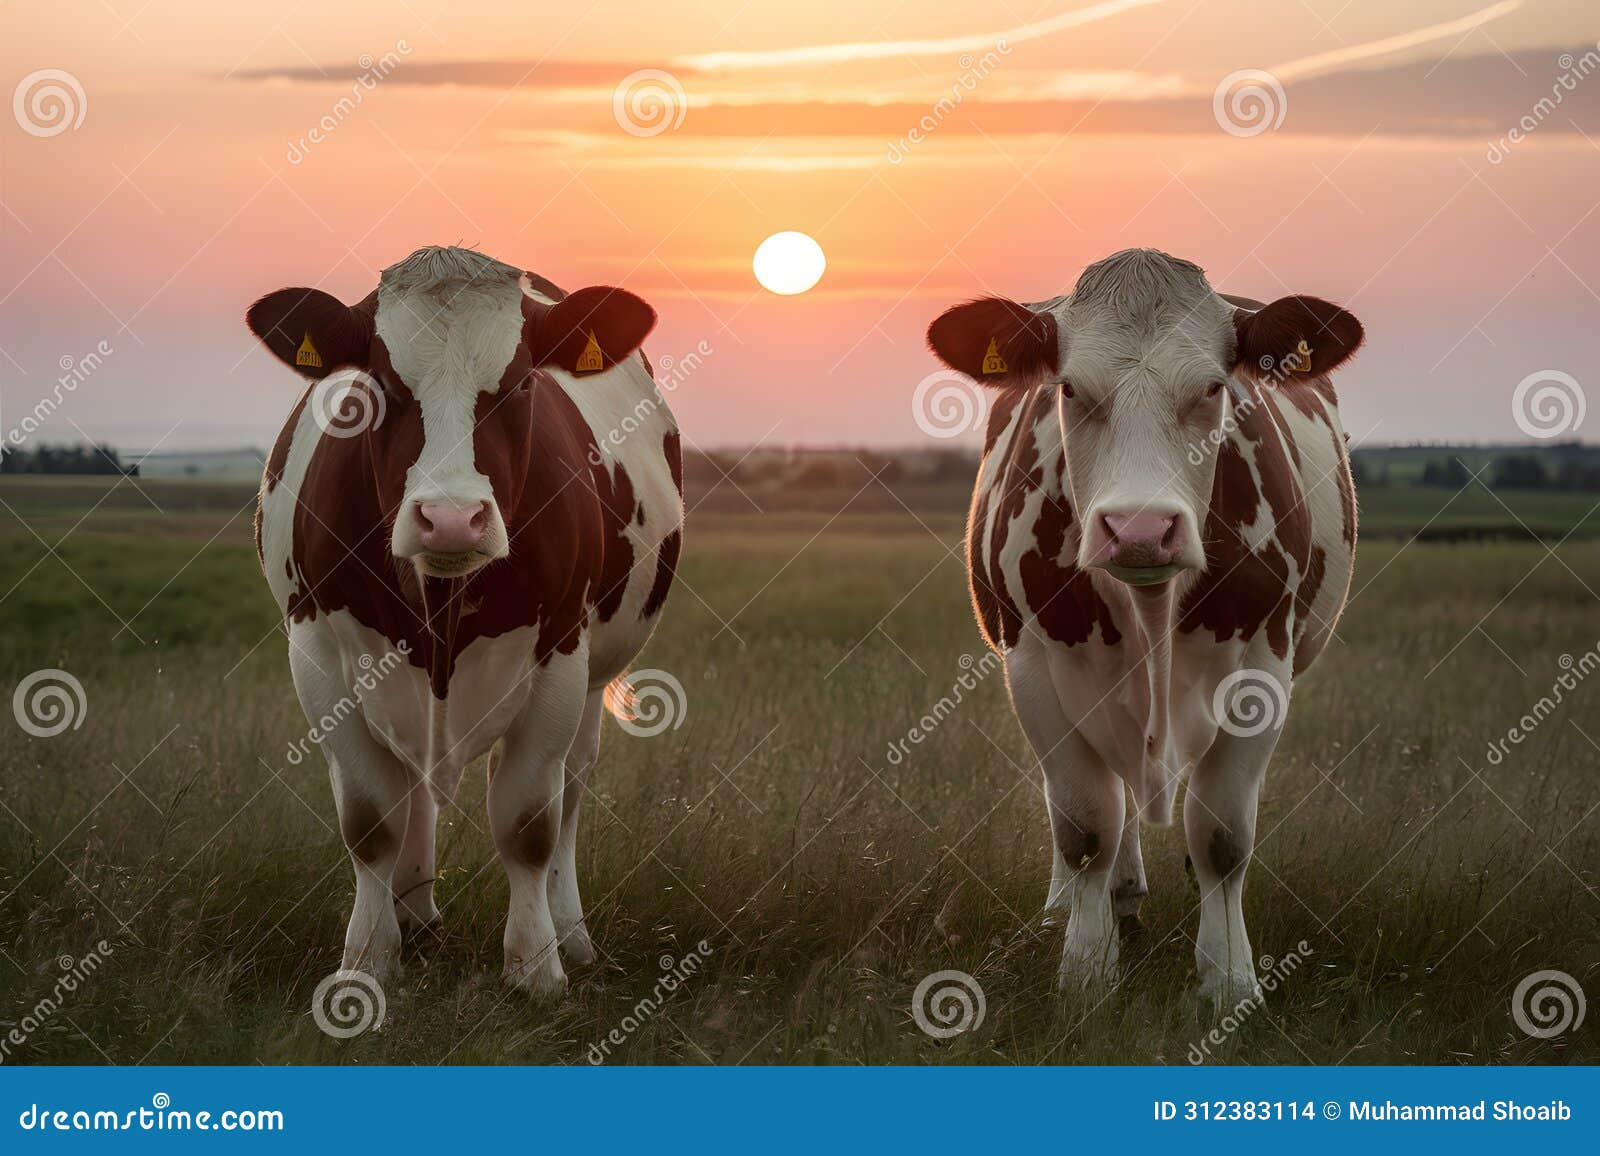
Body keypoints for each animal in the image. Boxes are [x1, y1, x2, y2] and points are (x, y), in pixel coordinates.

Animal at [247, 246, 683, 994]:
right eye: (379, 386)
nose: (451, 518)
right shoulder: (317, 655)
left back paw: (572, 935)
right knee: (413, 788)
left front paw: (537, 967)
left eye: (520, 385)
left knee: (571, 787)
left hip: (595, 679)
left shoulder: (561, 652)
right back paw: (416, 918)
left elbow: (529, 823)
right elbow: (370, 821)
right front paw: (368, 960)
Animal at [927, 249, 1362, 1008]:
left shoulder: (1265, 666)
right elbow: (1084, 825)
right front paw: (1085, 972)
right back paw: (1084, 903)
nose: (1139, 529)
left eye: (1214, 386)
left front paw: (1230, 979)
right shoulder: (1033, 665)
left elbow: (1222, 835)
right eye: (1070, 388)